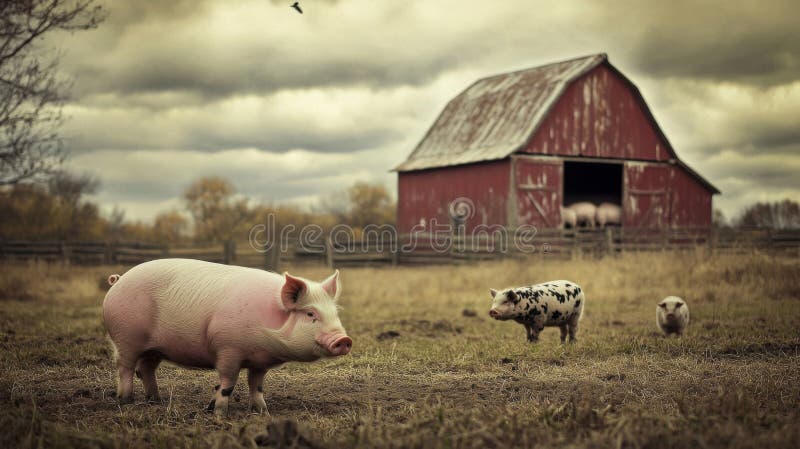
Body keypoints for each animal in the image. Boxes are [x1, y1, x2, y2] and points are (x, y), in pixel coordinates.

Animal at [102, 258, 352, 416]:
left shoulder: (260, 361)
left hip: (155, 349)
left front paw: (262, 411)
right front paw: (220, 413)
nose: (343, 340)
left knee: (145, 368)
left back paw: (156, 400)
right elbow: (228, 382)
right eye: (310, 314)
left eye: (335, 312)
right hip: (126, 338)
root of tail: (119, 280)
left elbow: (256, 384)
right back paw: (125, 400)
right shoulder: (228, 348)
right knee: (125, 367)